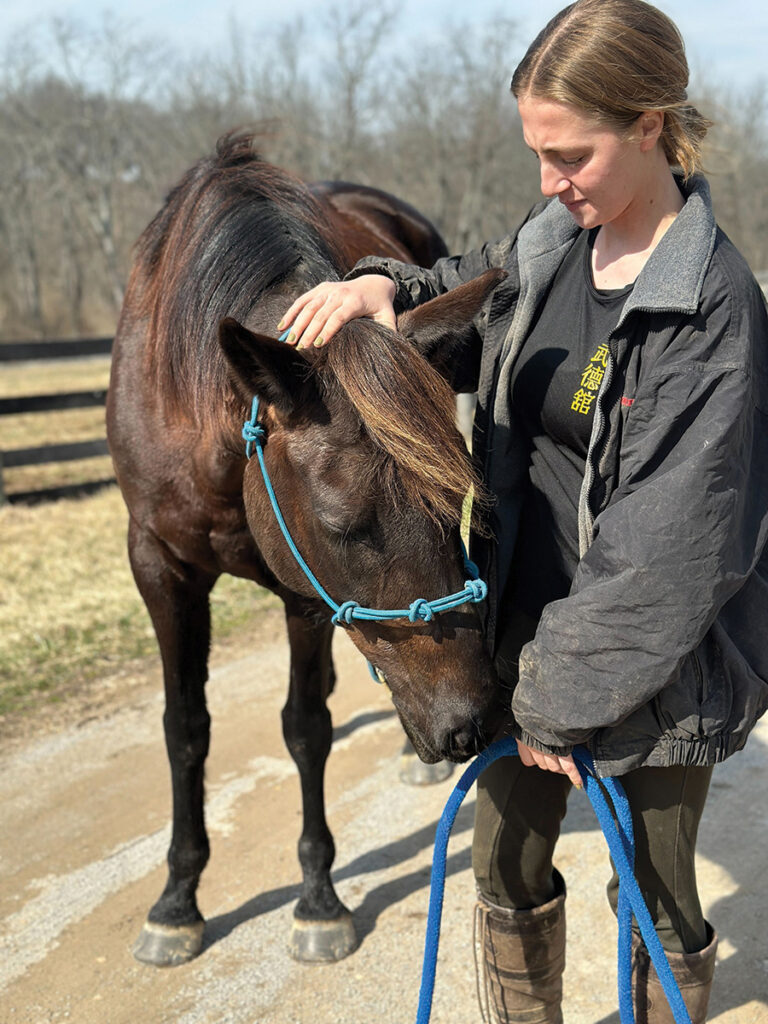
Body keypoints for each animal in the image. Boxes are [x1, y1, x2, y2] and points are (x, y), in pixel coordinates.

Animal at [106, 131, 505, 968]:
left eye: (455, 501)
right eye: (344, 524)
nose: (475, 723)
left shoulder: (305, 596)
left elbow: (305, 726)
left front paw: (319, 898)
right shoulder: (158, 564)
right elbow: (185, 729)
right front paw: (177, 901)